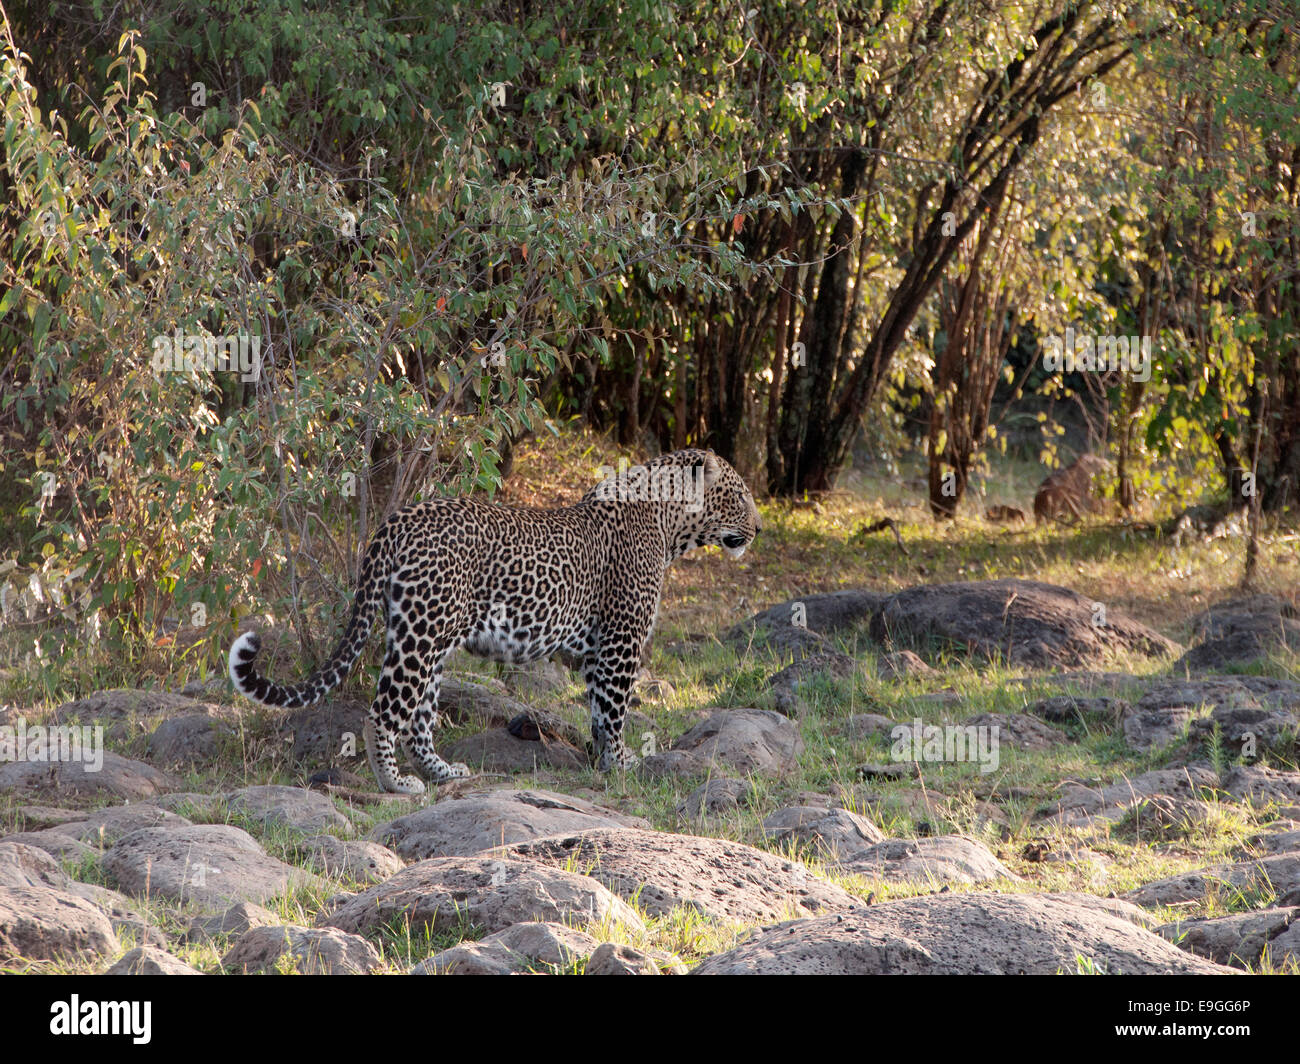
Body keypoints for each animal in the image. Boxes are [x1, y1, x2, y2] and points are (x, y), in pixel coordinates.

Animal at [228, 448, 761, 794]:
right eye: (740, 497)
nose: (758, 528)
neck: (670, 523)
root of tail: (397, 519)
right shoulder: (620, 642)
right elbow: (614, 711)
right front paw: (622, 764)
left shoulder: (596, 650)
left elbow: (595, 710)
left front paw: (602, 763)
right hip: (422, 635)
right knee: (382, 713)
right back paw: (396, 783)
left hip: (425, 634)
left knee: (419, 719)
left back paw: (442, 773)